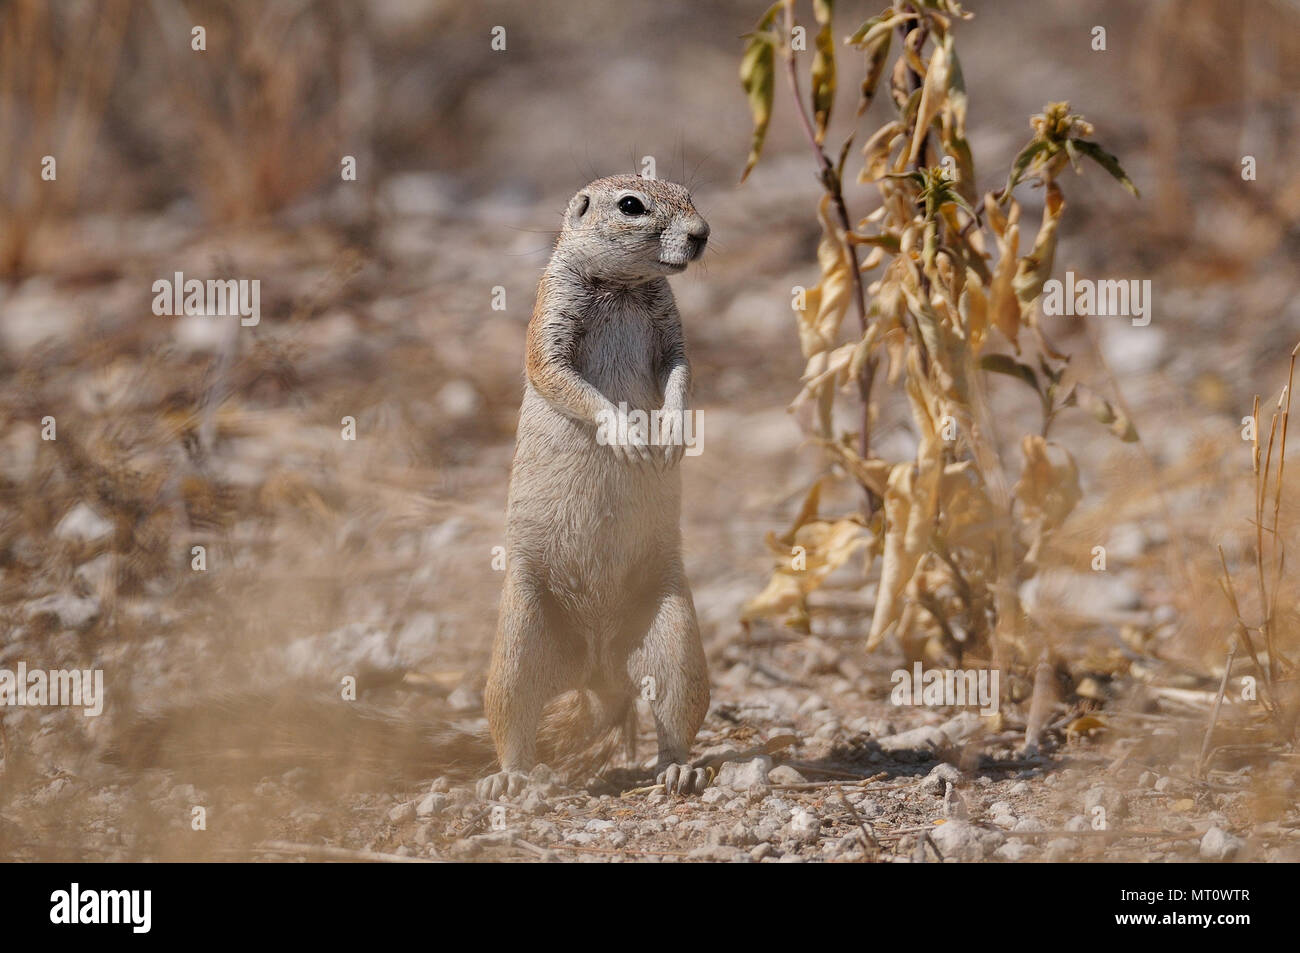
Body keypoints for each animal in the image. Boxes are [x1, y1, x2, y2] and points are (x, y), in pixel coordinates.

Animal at [478, 174, 712, 799]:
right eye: (632, 205)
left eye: (687, 192)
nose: (702, 234)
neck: (623, 287)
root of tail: (599, 670)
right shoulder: (551, 317)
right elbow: (557, 373)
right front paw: (627, 433)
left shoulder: (671, 329)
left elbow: (681, 371)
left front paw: (673, 431)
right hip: (517, 646)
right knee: (513, 721)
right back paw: (508, 780)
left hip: (676, 639)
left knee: (675, 714)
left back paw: (679, 769)